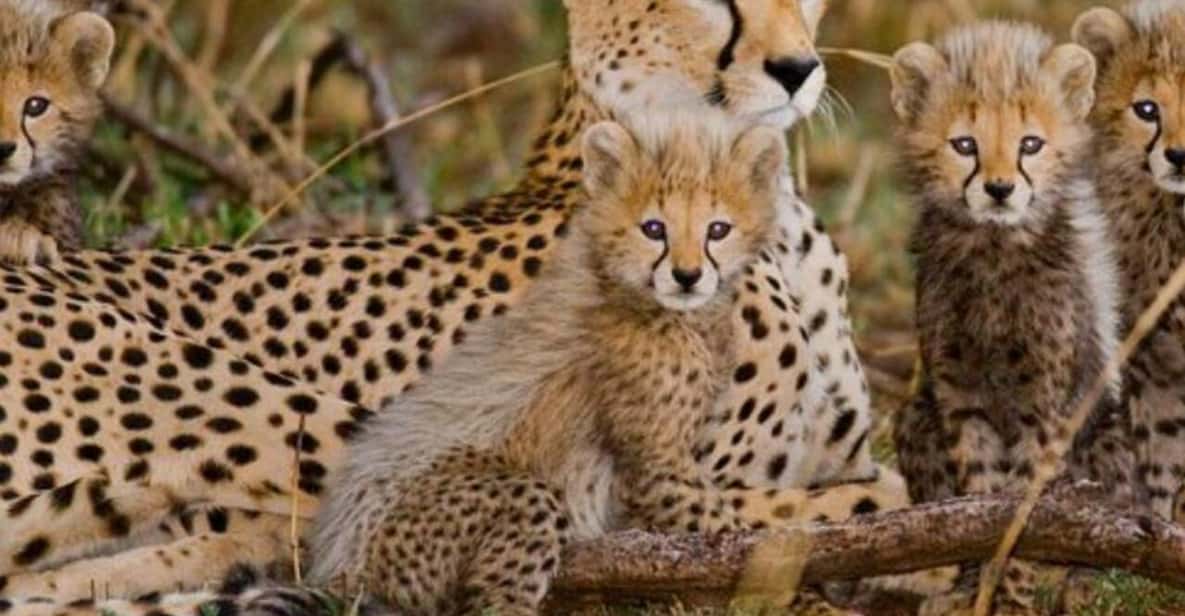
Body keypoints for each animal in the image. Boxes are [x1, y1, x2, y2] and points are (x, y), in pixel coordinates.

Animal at [888, 21, 1138, 615]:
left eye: (1030, 144)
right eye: (965, 145)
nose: (1000, 189)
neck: (995, 251)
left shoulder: (1043, 406)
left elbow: (1024, 502)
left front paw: (1015, 594)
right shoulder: (959, 393)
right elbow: (980, 495)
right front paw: (980, 585)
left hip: (1108, 434)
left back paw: (1080, 583)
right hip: (915, 418)